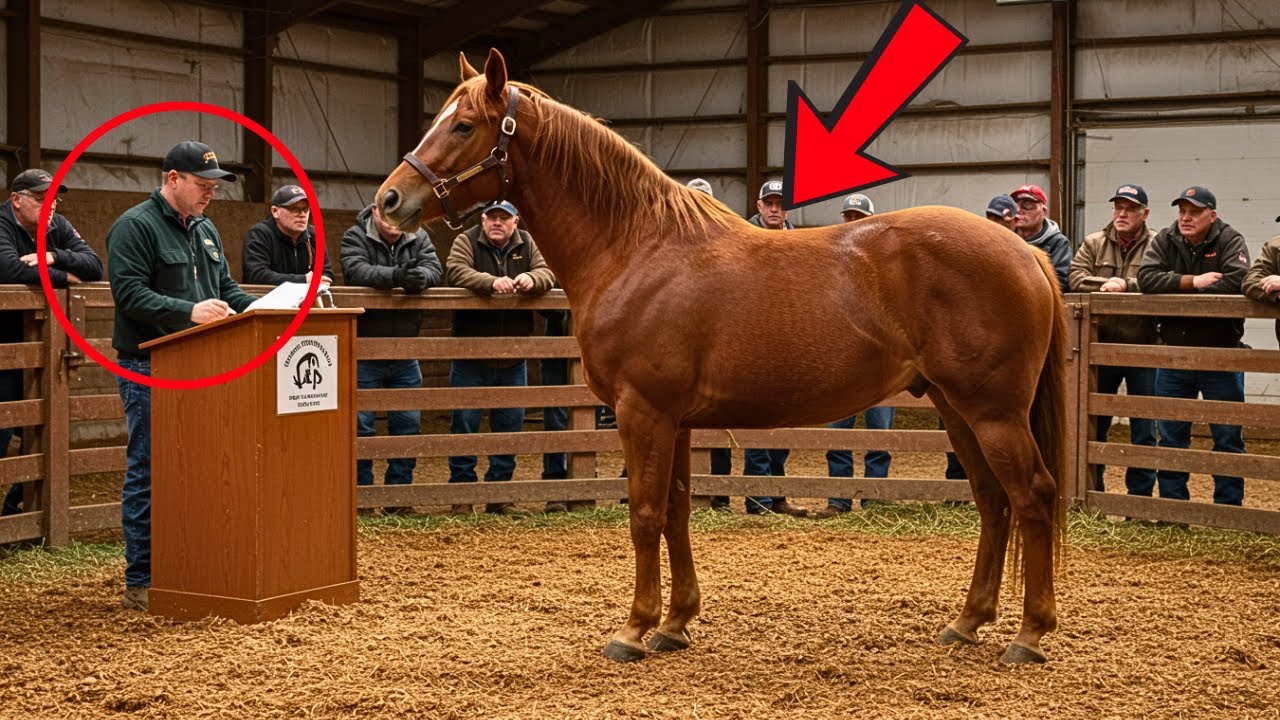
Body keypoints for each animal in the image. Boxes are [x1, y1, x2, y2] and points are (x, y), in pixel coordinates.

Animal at [376, 49, 1068, 665]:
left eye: (464, 125)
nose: (388, 202)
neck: (637, 247)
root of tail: (1026, 253)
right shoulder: (674, 420)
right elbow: (677, 513)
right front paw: (675, 624)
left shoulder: (643, 412)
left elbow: (644, 514)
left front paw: (633, 630)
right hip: (956, 408)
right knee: (992, 500)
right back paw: (967, 622)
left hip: (993, 412)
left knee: (1032, 496)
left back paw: (1029, 635)